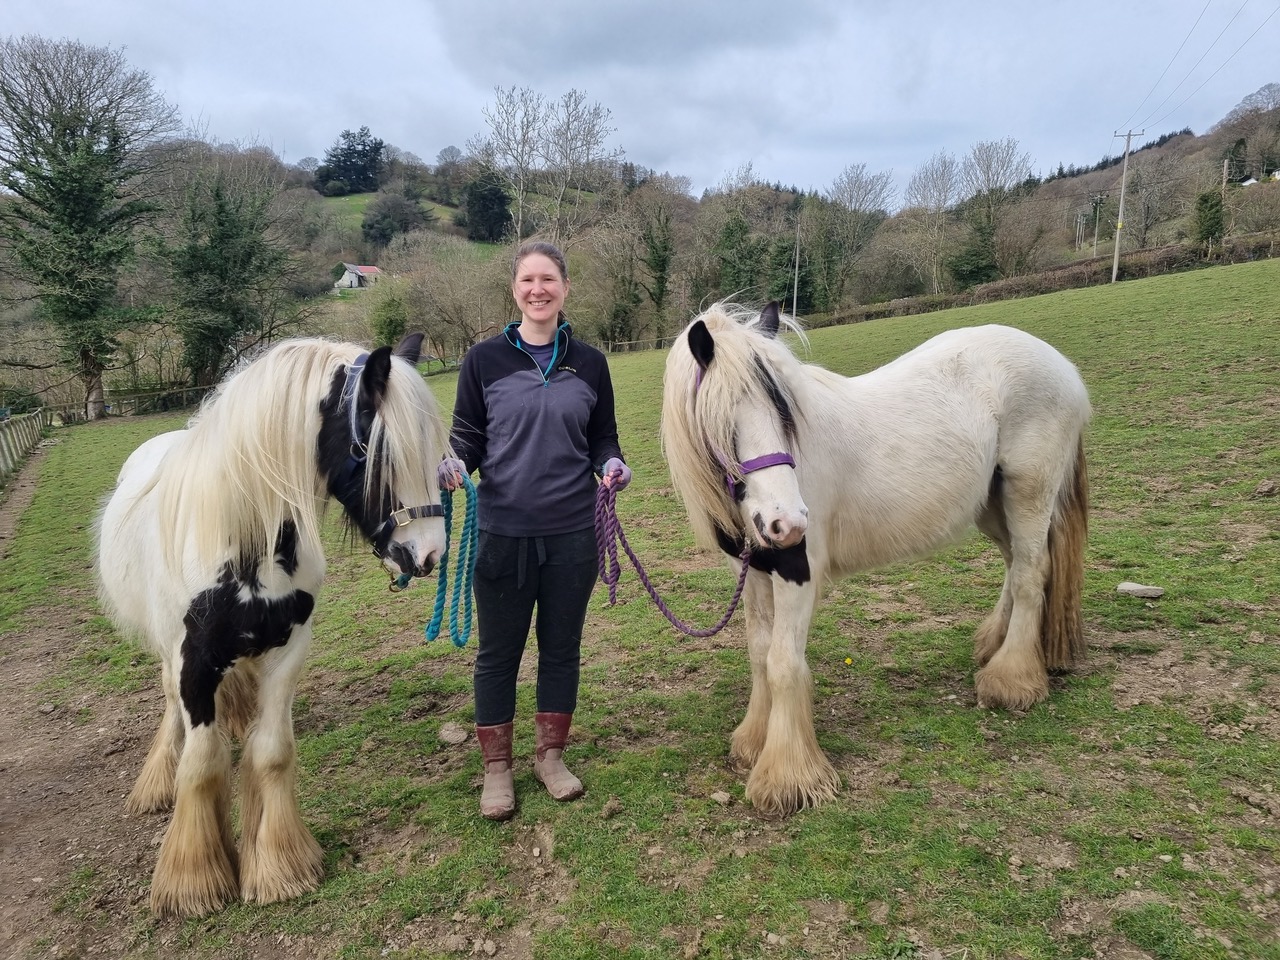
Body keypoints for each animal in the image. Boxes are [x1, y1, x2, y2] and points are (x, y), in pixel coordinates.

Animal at [96, 333, 450, 916]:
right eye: (372, 452)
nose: (427, 555)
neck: (242, 540)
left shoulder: (288, 651)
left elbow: (272, 752)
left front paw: (279, 867)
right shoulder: (193, 662)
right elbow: (201, 762)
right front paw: (194, 880)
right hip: (168, 651)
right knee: (170, 705)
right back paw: (158, 782)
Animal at [660, 303, 1090, 818]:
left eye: (785, 414)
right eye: (725, 424)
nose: (789, 524)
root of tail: (1060, 364)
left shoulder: (796, 572)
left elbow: (783, 662)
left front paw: (787, 777)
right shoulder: (756, 573)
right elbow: (760, 653)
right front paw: (754, 741)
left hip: (1029, 493)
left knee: (1030, 573)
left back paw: (1011, 680)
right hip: (992, 503)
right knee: (1016, 565)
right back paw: (994, 646)